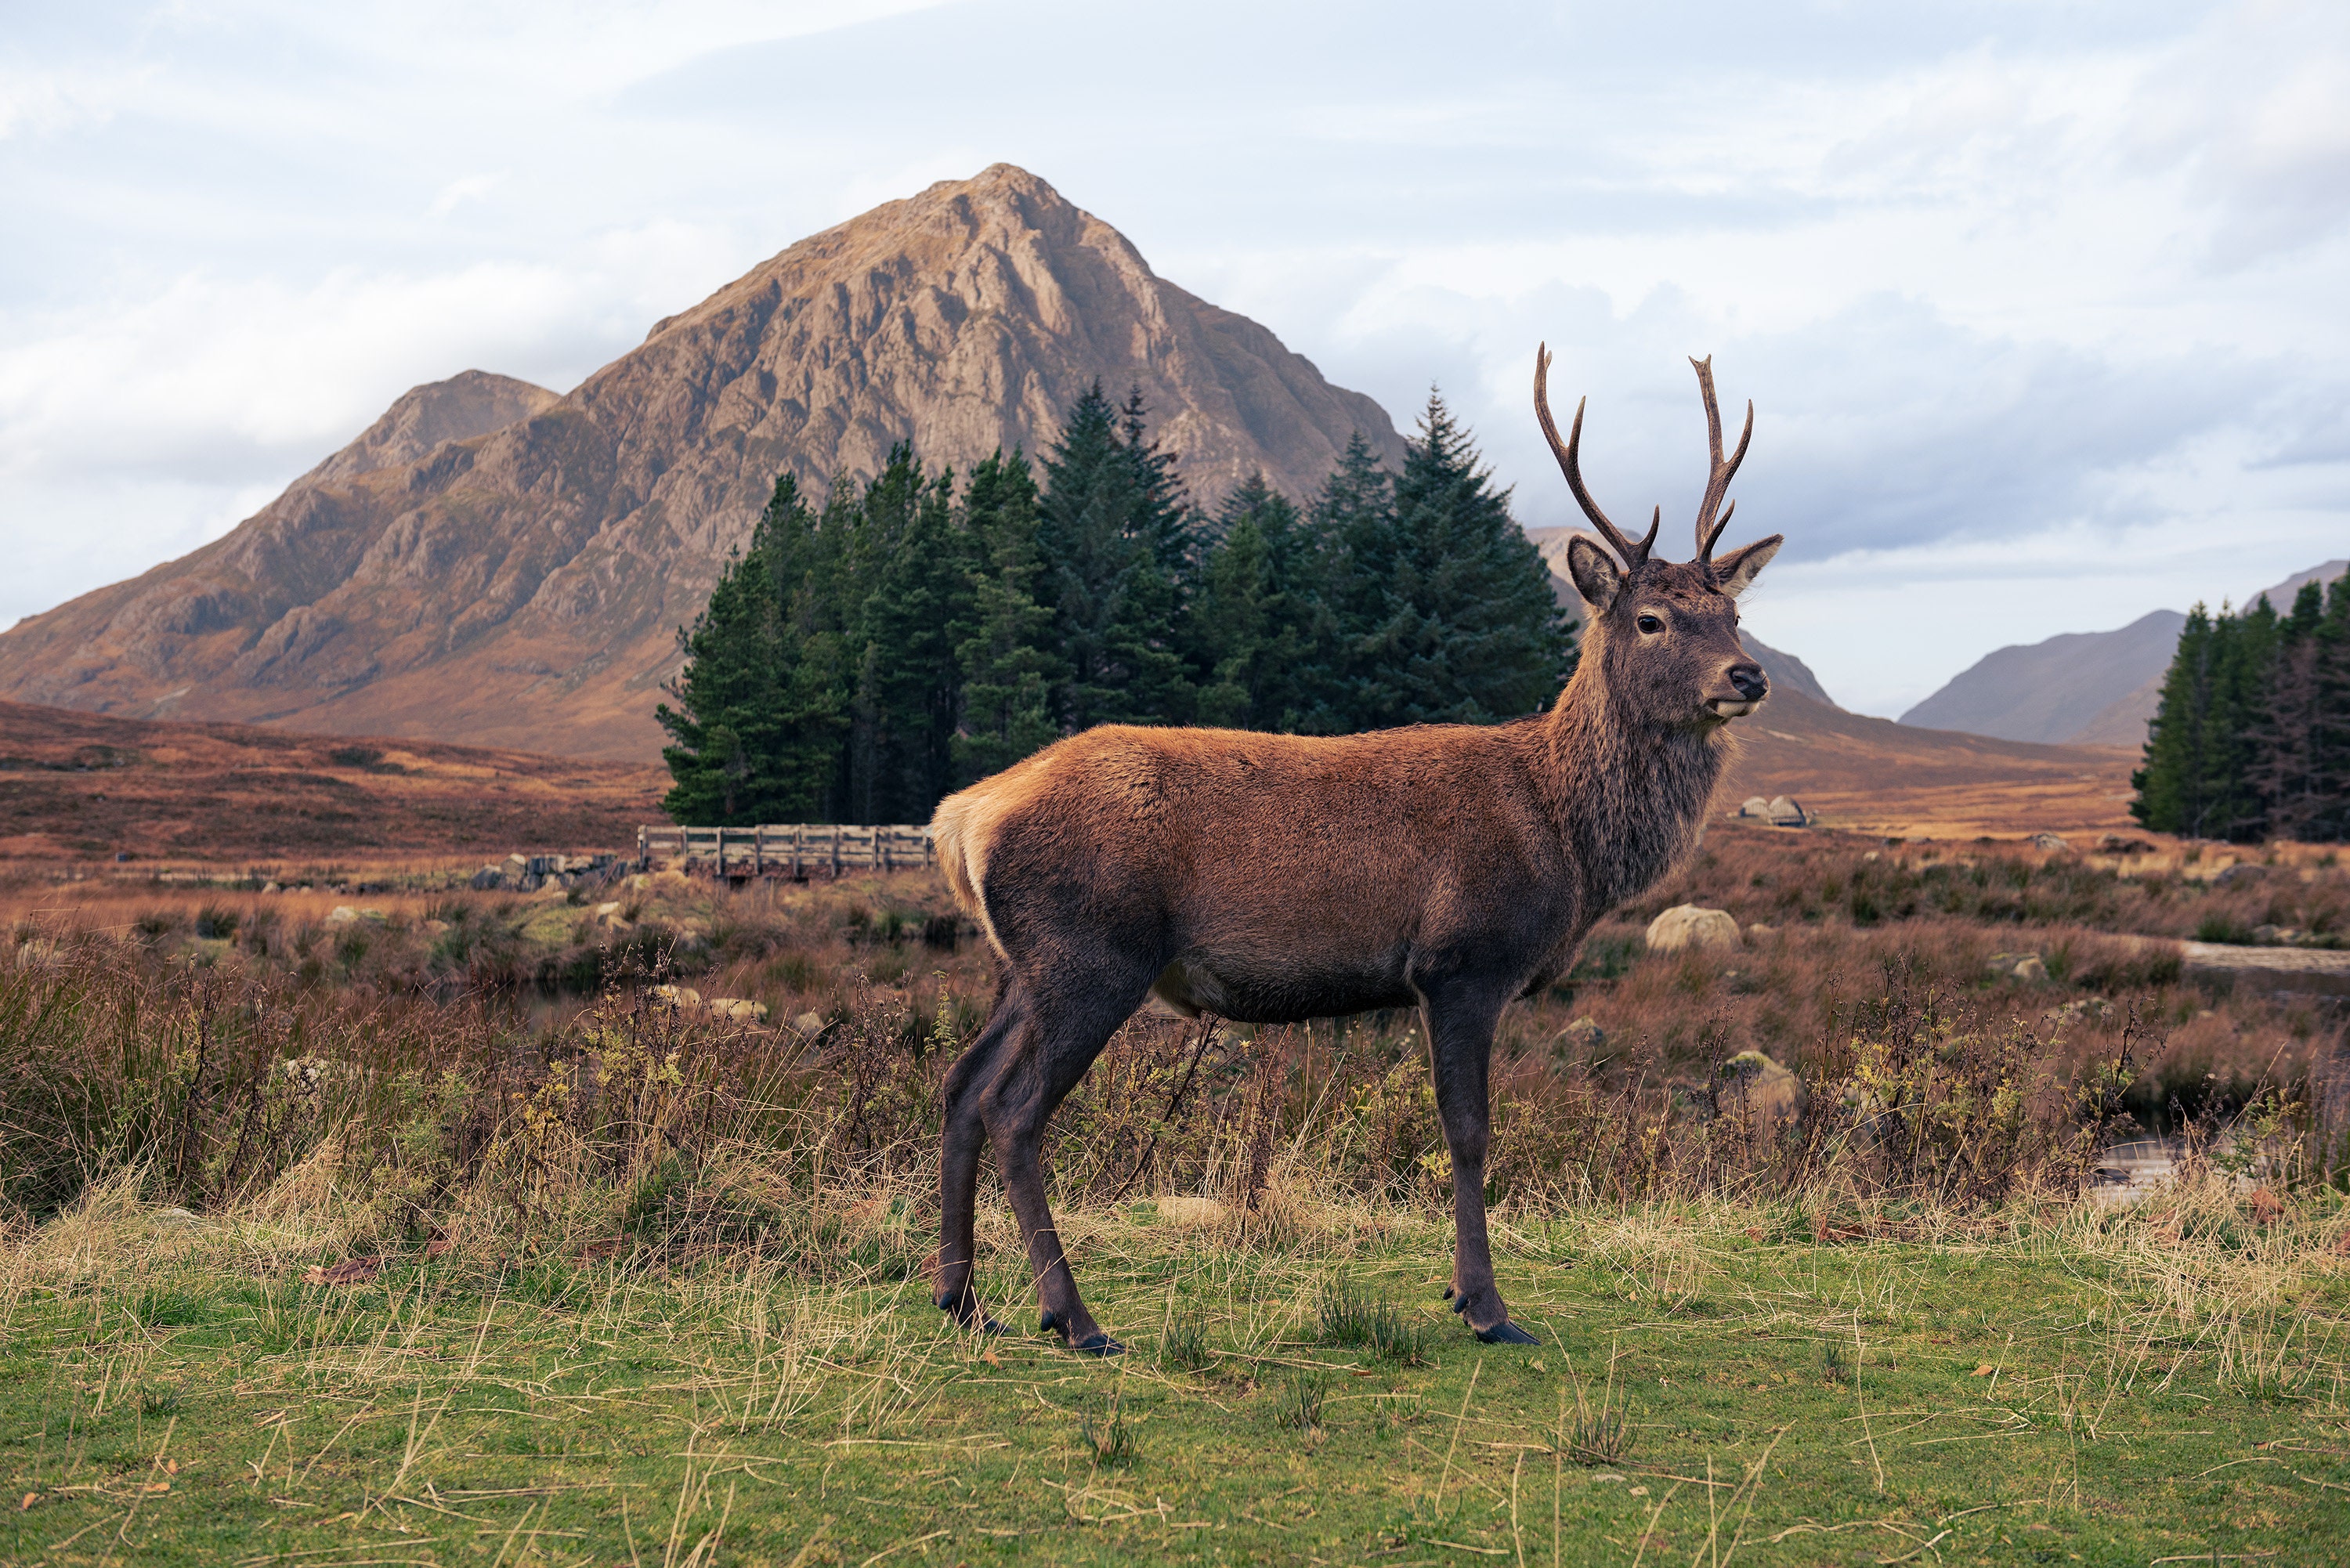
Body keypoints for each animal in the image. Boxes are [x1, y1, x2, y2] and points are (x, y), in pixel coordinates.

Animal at [926, 347, 1783, 1353]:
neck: (1566, 838)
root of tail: (963, 816)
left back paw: (963, 1299)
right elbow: (1468, 1131)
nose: (1748, 675)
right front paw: (1486, 1305)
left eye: (1731, 614)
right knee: (1014, 1110)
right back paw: (1074, 1317)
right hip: (1090, 951)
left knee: (960, 1085)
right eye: (1651, 618)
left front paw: (1465, 1293)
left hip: (1024, 963)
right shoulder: (1461, 960)